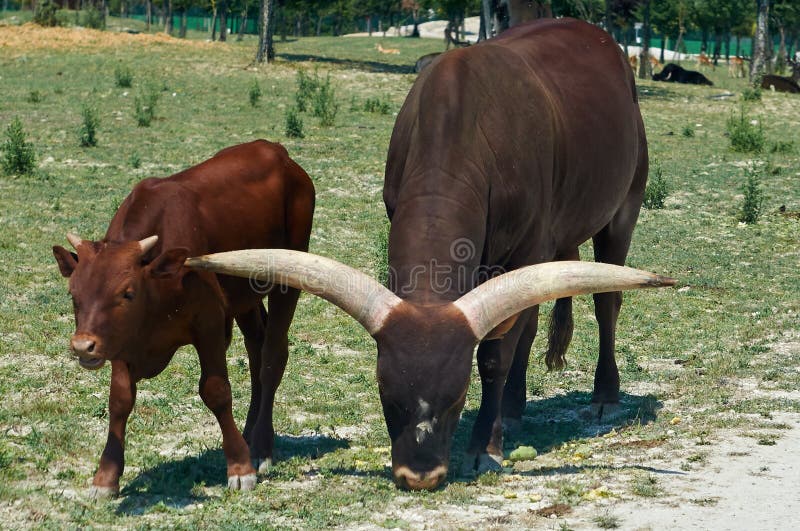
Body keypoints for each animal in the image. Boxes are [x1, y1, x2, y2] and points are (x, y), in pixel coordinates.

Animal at [52, 140, 315, 496]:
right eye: (73, 293)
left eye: (127, 293)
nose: (83, 346)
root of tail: (278, 152)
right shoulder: (121, 339)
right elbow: (119, 399)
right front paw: (105, 476)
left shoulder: (210, 325)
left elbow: (216, 391)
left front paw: (240, 467)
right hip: (244, 298)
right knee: (256, 350)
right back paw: (250, 432)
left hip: (289, 278)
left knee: (272, 357)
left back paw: (260, 447)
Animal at [186, 19, 675, 491]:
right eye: (386, 394)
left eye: (458, 397)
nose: (419, 476)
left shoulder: (527, 248)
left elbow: (495, 355)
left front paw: (485, 447)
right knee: (533, 320)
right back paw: (514, 408)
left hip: (624, 208)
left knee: (606, 302)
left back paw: (603, 396)